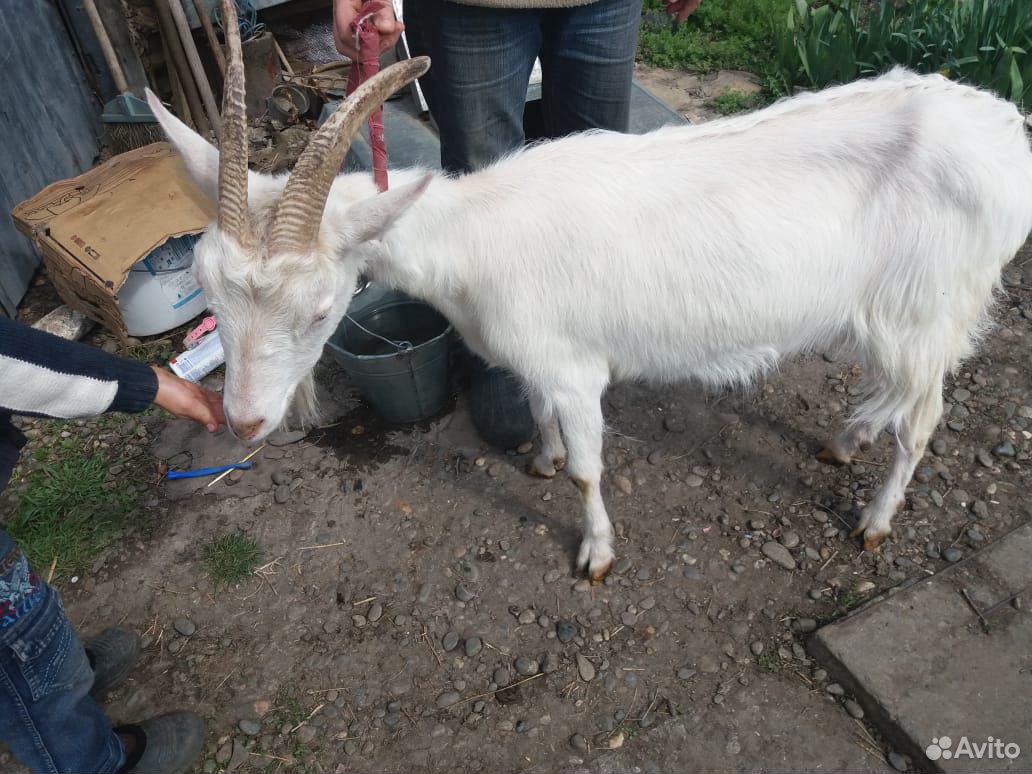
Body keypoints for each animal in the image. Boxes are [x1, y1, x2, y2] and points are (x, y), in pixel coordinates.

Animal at [149, 0, 1032, 581]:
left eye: (322, 309)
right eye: (210, 297)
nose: (244, 421)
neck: (475, 236)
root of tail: (1007, 135)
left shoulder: (577, 369)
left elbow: (586, 468)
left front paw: (596, 553)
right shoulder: (541, 358)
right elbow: (537, 413)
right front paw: (537, 459)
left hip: (928, 305)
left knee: (922, 418)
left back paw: (875, 522)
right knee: (895, 392)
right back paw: (847, 439)